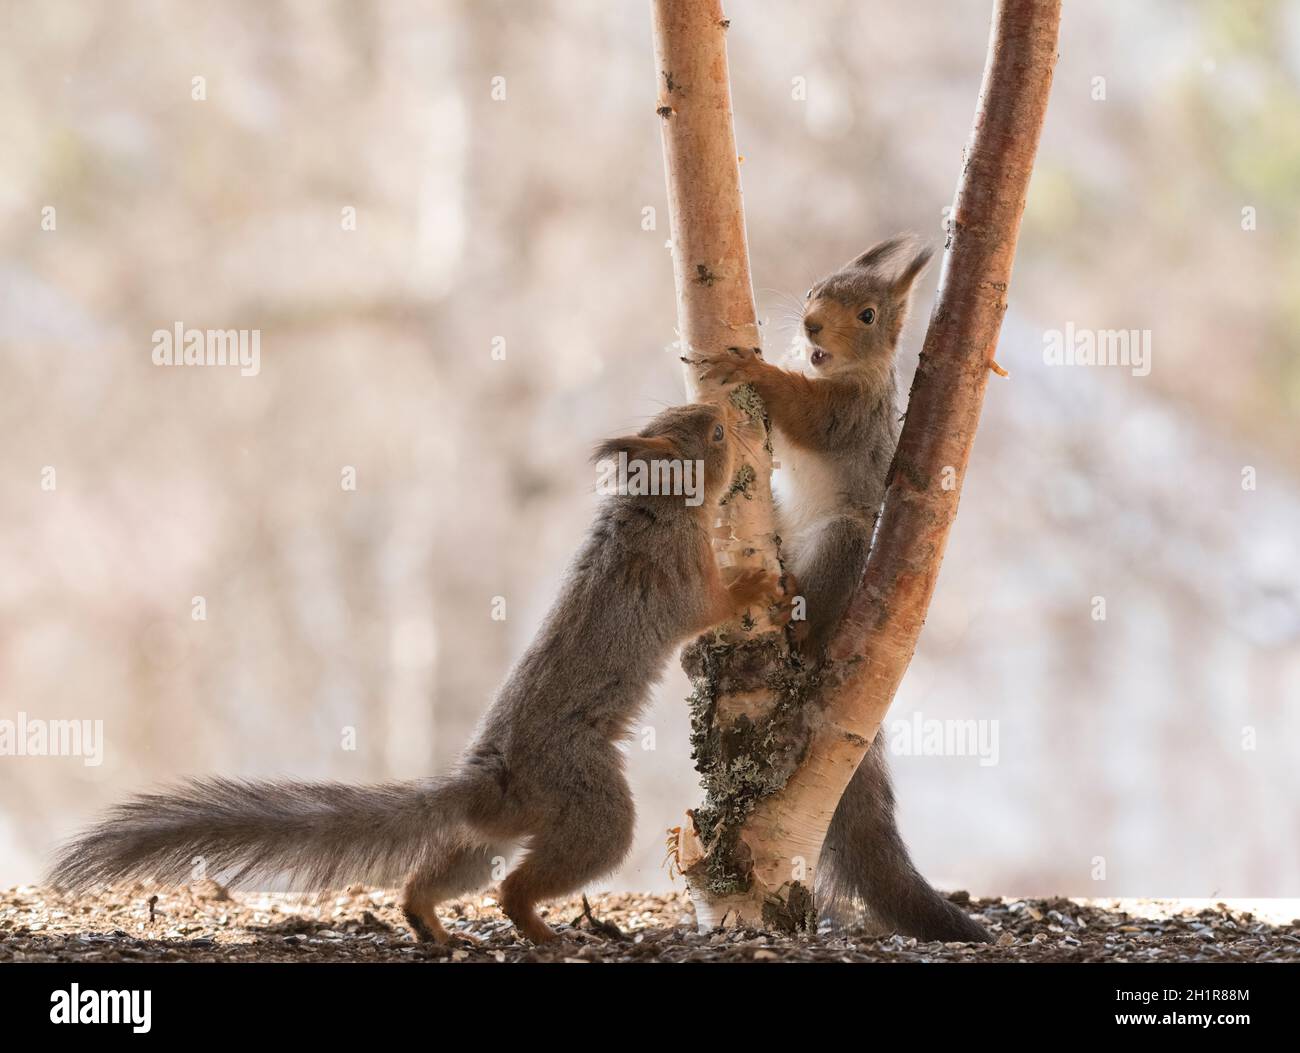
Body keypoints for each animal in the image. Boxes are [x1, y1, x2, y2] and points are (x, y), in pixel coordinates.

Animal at [50, 403, 778, 945]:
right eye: (713, 434)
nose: (730, 415)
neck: (652, 511)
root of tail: (489, 785)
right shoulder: (676, 574)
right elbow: (710, 607)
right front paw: (758, 581)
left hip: (488, 835)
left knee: (442, 876)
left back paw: (429, 920)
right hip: (590, 805)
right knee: (517, 885)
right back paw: (541, 931)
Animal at [695, 235, 990, 943]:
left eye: (868, 316)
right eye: (812, 290)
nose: (809, 326)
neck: (834, 371)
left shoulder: (848, 415)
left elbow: (807, 416)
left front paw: (757, 371)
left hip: (841, 546)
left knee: (818, 601)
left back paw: (803, 625)